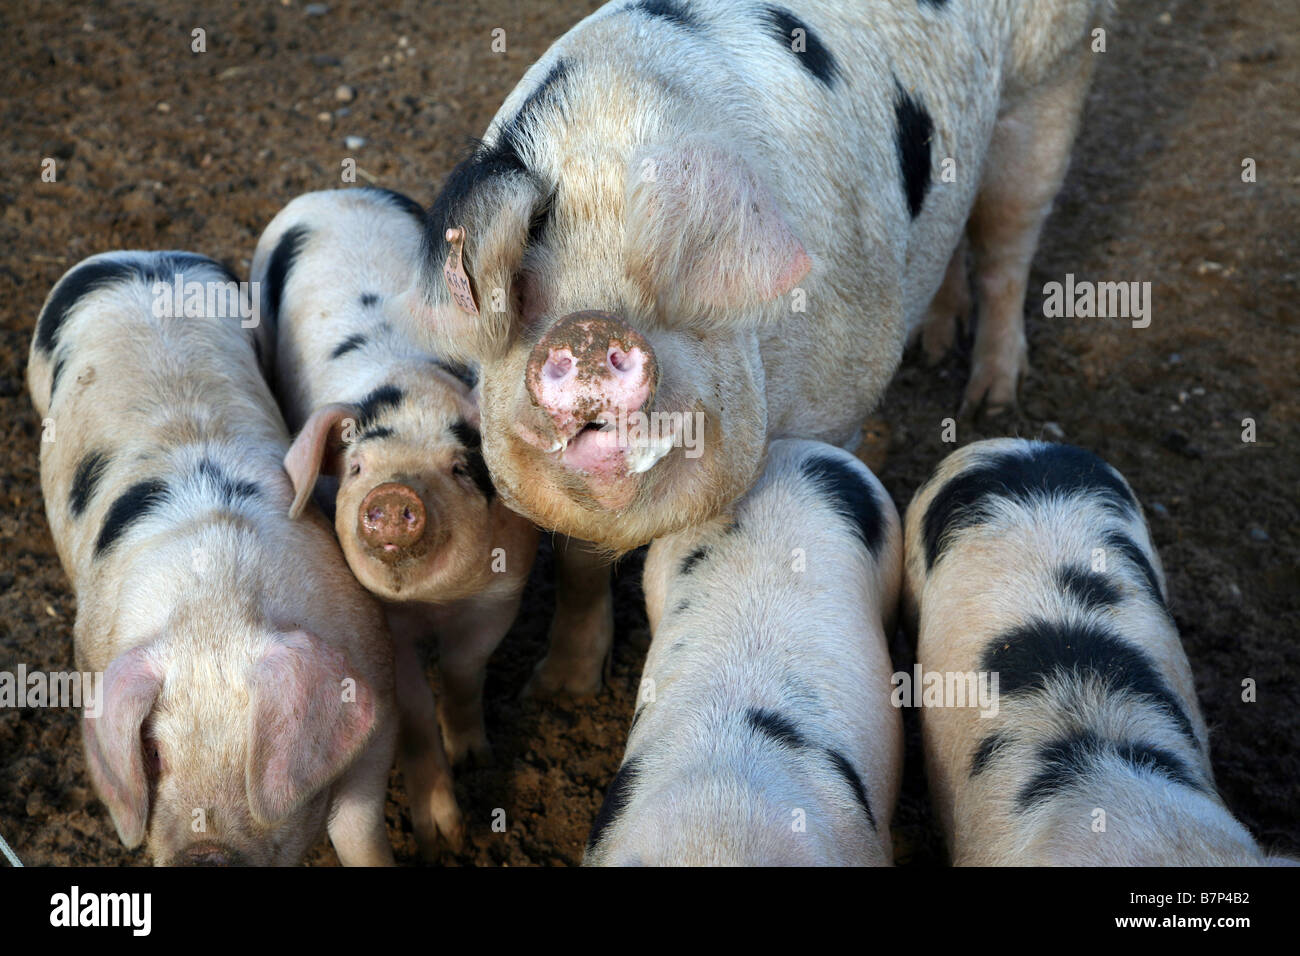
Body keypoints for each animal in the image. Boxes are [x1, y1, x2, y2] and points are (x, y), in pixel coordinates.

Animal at [27, 251, 405, 865]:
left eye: (254, 750)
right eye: (153, 754)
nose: (205, 854)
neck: (213, 608)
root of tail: (140, 258)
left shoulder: (378, 693)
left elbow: (359, 827)